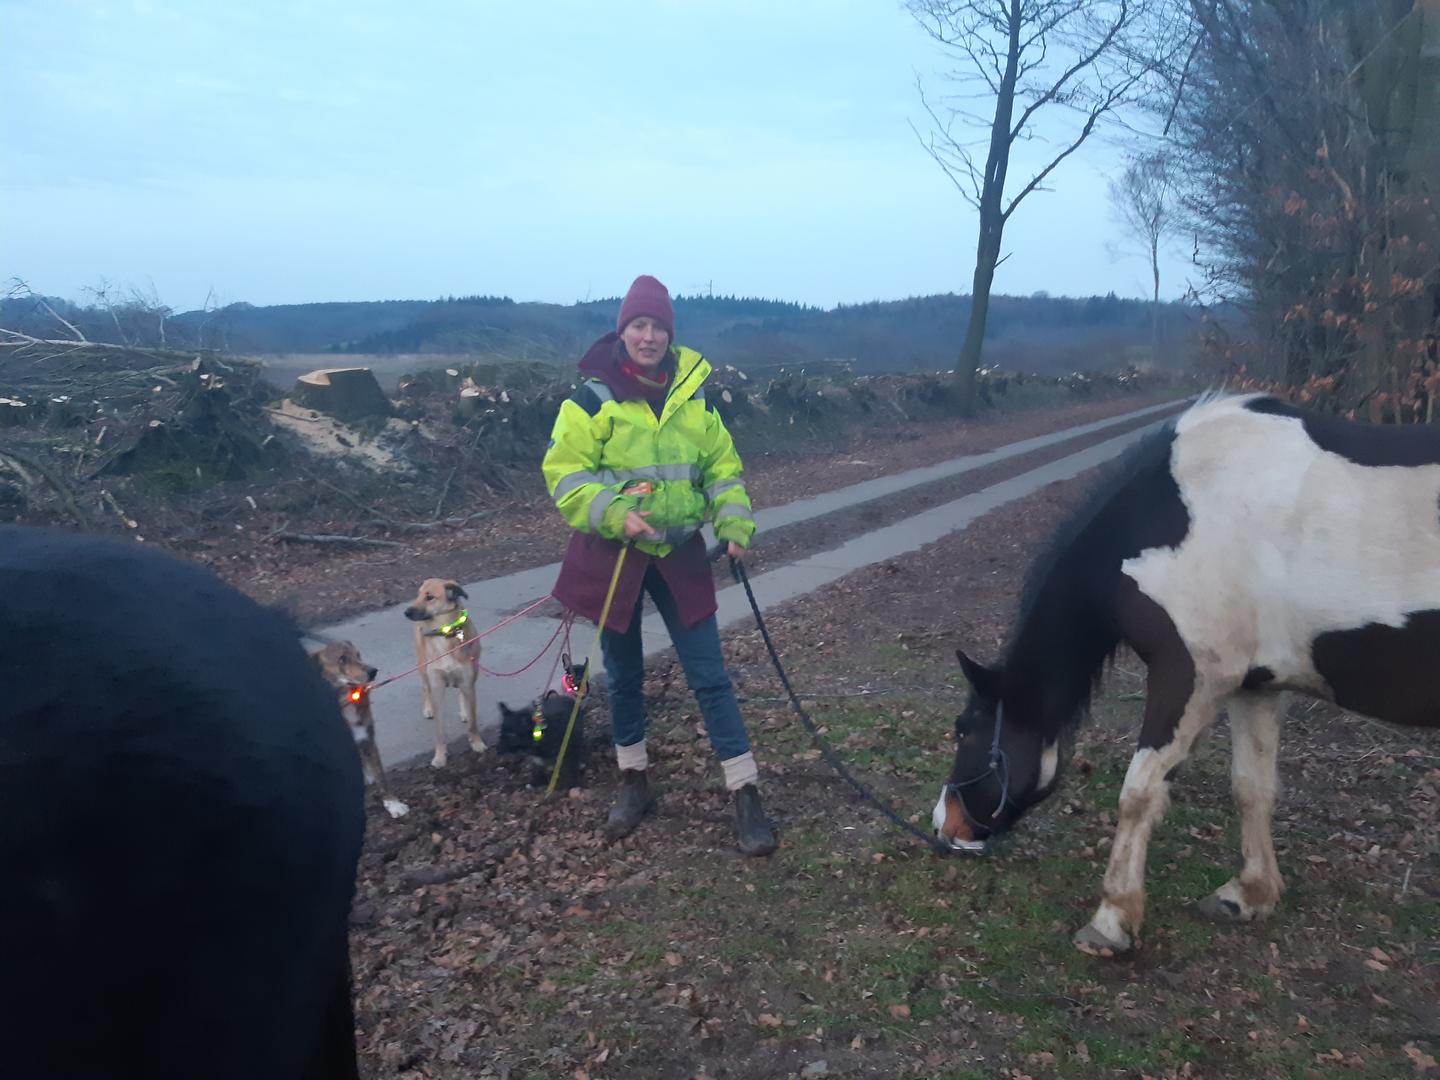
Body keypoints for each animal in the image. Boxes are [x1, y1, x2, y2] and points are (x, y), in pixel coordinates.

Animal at [932, 393, 1440, 955]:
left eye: (965, 730)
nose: (942, 827)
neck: (1168, 518)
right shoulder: (1255, 687)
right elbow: (1252, 787)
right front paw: (1249, 894)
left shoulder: (1190, 678)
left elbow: (1139, 793)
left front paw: (1111, 919)